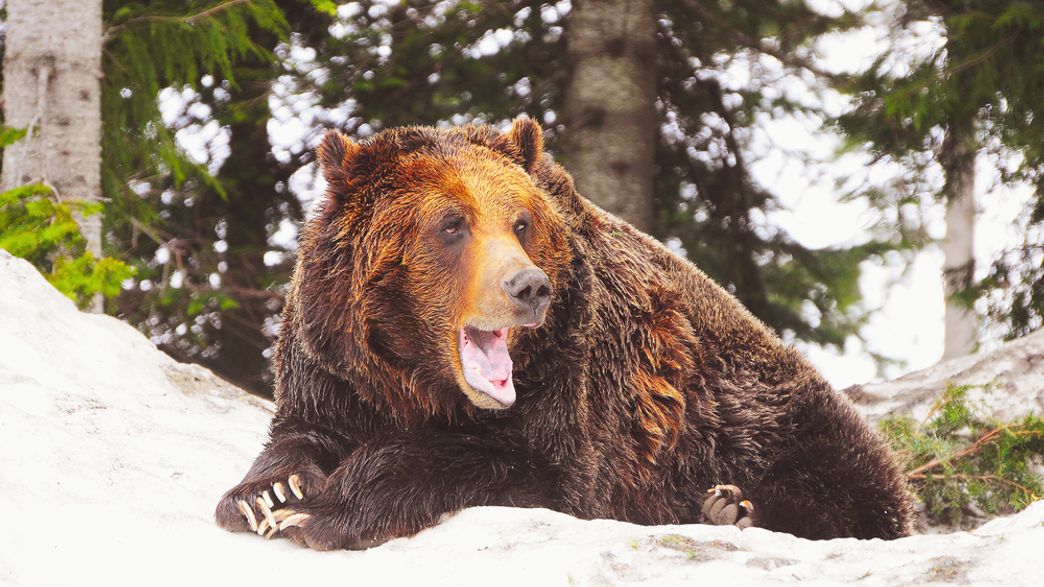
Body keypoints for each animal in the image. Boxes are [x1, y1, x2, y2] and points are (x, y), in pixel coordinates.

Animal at [214, 117, 912, 549]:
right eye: (451, 224)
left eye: (521, 221)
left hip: (769, 411)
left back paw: (736, 507)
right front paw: (267, 495)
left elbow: (510, 460)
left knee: (852, 486)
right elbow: (301, 430)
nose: (528, 287)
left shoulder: (571, 381)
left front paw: (315, 511)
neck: (417, 378)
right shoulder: (331, 360)